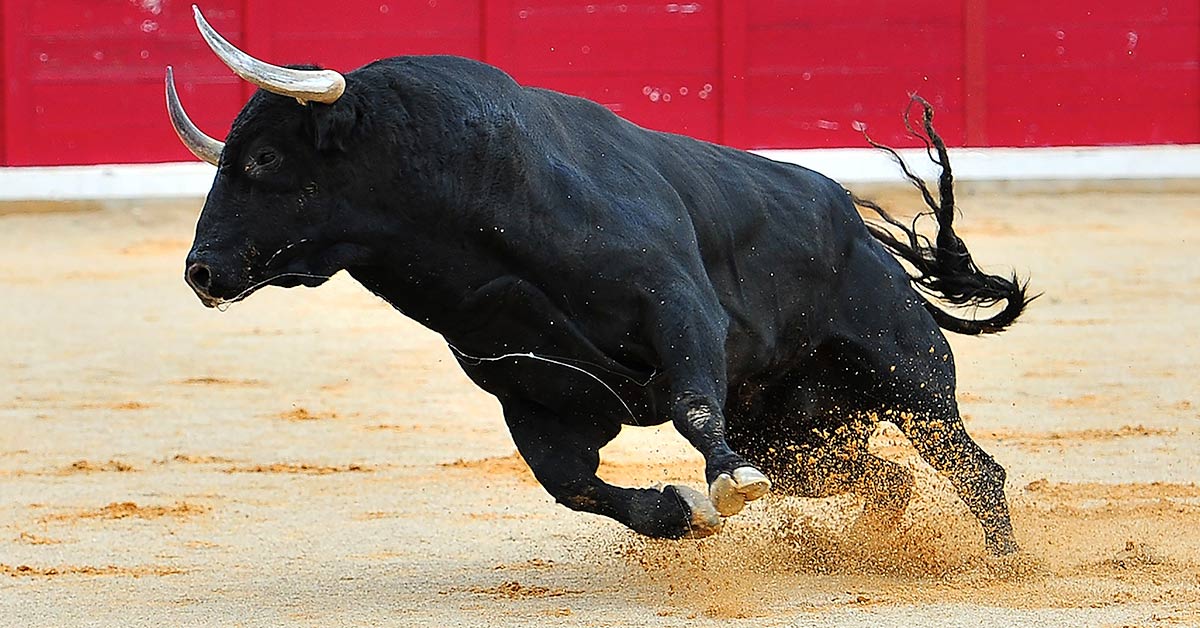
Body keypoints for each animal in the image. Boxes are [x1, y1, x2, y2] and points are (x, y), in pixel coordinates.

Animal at [168, 6, 1031, 555]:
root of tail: (854, 223)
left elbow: (690, 406)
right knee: (885, 480)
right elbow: (573, 486)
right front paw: (682, 513)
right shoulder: (531, 397)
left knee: (971, 466)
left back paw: (1002, 563)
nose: (202, 270)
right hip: (791, 431)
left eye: (264, 157)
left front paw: (722, 485)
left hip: (905, 372)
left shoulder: (679, 309)